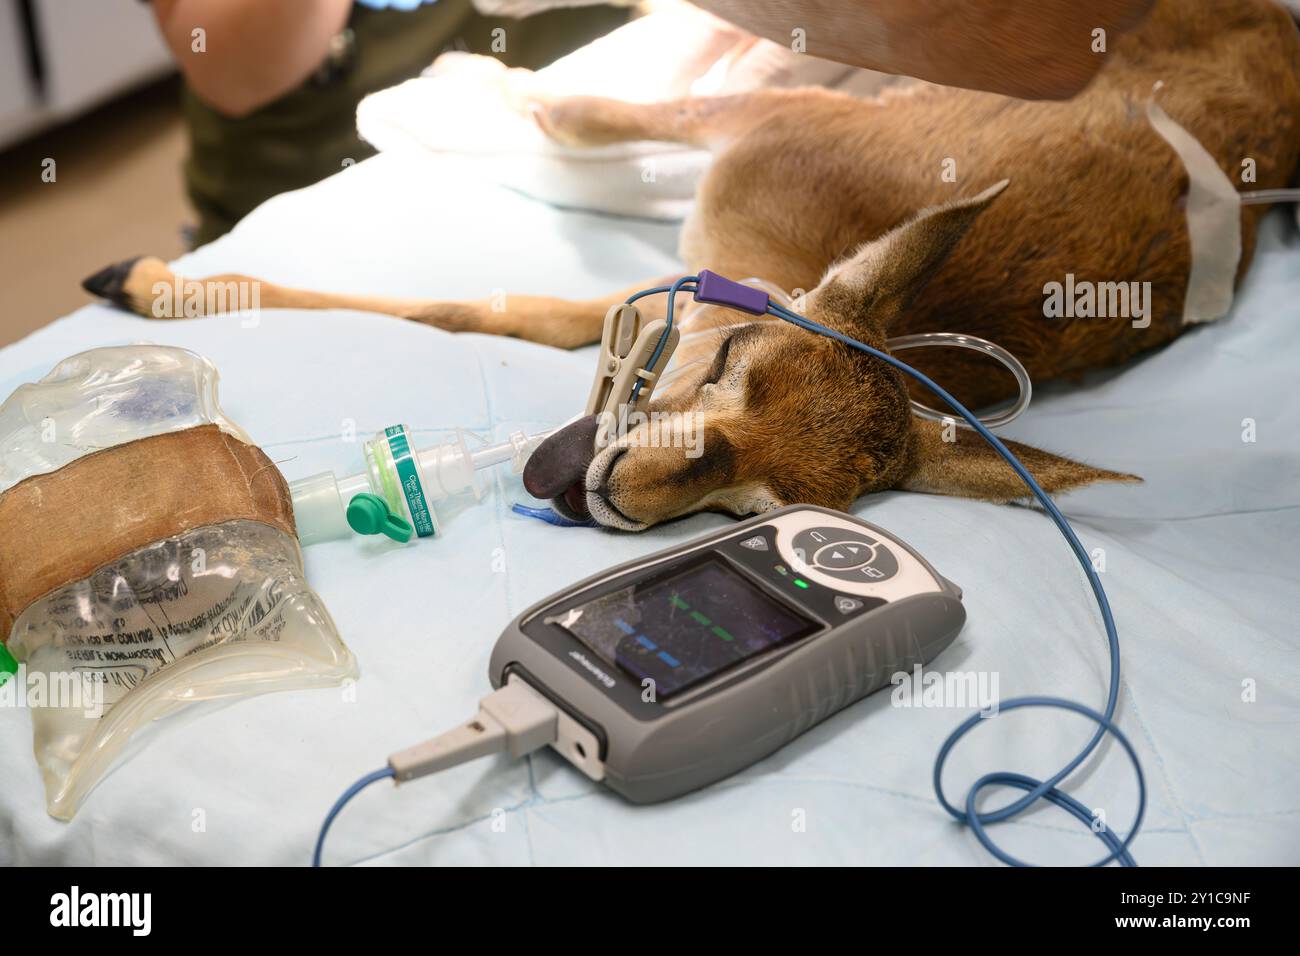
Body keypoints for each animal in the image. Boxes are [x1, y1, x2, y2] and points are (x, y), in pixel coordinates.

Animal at [82, 0, 1300, 530]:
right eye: (726, 373)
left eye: (753, 510)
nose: (608, 486)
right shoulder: (761, 139)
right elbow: (573, 137)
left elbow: (498, 306)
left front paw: (154, 284)